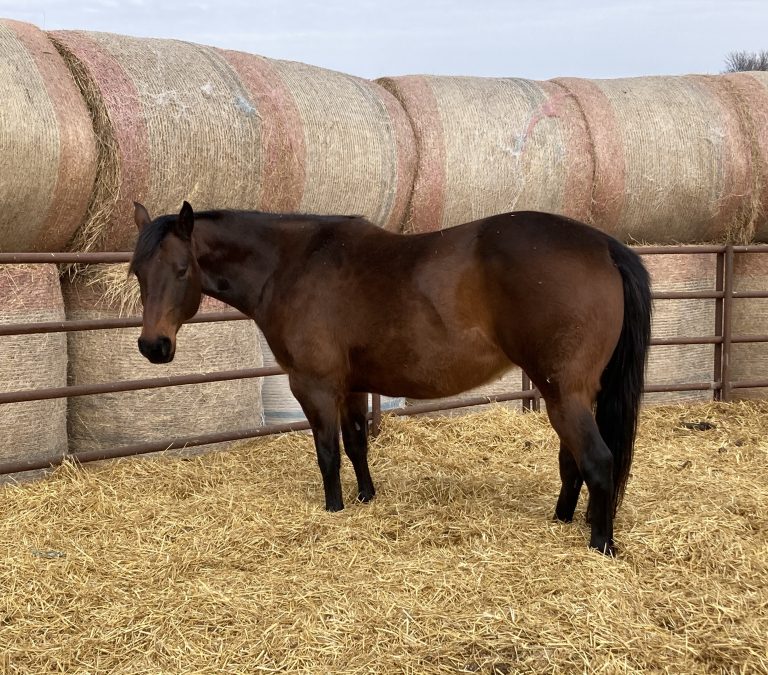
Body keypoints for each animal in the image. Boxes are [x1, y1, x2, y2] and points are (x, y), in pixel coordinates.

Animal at [130, 201, 651, 556]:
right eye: (137, 271)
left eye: (182, 269)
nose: (153, 346)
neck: (292, 263)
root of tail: (603, 246)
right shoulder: (353, 386)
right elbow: (357, 443)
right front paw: (365, 498)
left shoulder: (314, 385)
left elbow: (328, 452)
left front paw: (334, 508)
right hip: (569, 393)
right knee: (573, 461)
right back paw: (564, 520)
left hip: (563, 393)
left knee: (597, 461)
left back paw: (600, 542)